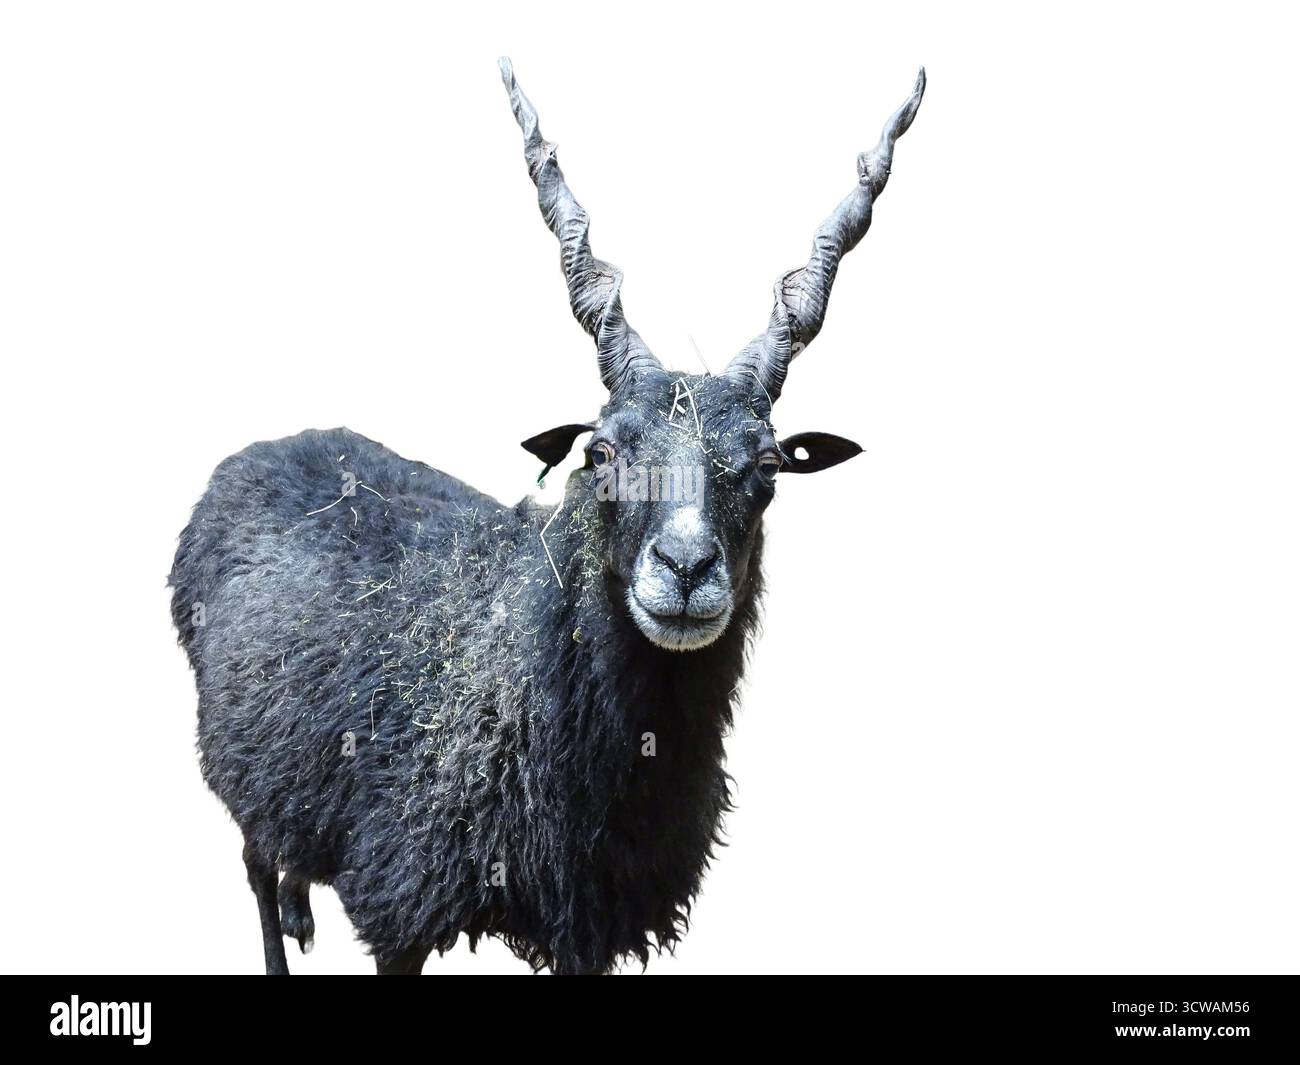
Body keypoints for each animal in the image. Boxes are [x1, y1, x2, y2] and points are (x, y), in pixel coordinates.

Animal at [169, 59, 925, 975]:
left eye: (771, 464)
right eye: (599, 452)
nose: (685, 569)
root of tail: (265, 447)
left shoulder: (589, 923)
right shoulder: (398, 893)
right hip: (236, 751)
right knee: (251, 863)